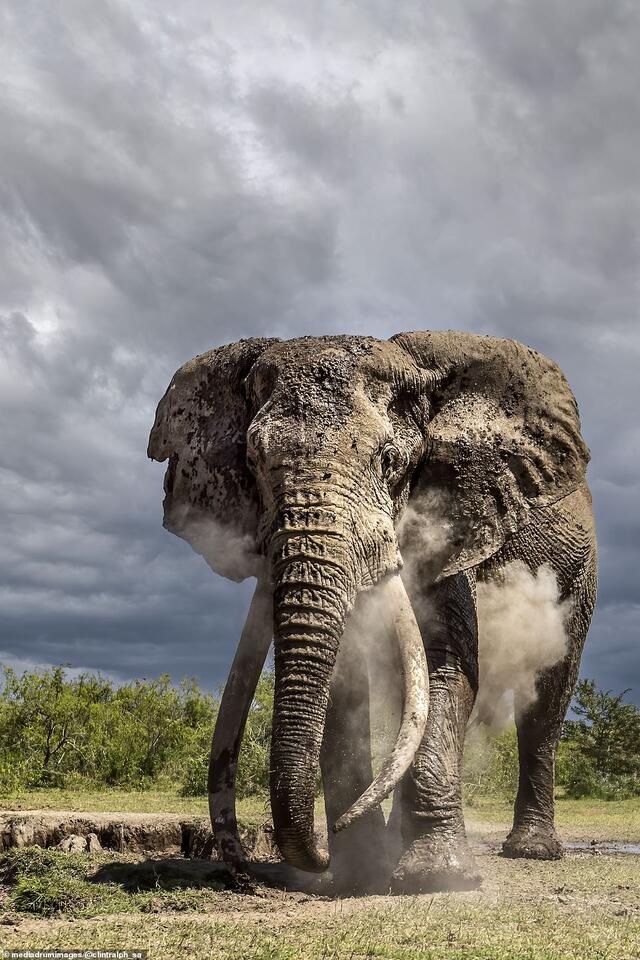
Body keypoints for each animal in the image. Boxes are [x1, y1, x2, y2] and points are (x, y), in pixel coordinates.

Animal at [148, 331, 597, 894]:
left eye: (390, 462)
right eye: (252, 461)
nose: (249, 874)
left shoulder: (451, 519)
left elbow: (447, 664)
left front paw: (434, 878)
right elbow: (345, 679)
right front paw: (360, 873)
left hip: (578, 574)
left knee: (547, 694)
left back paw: (531, 851)